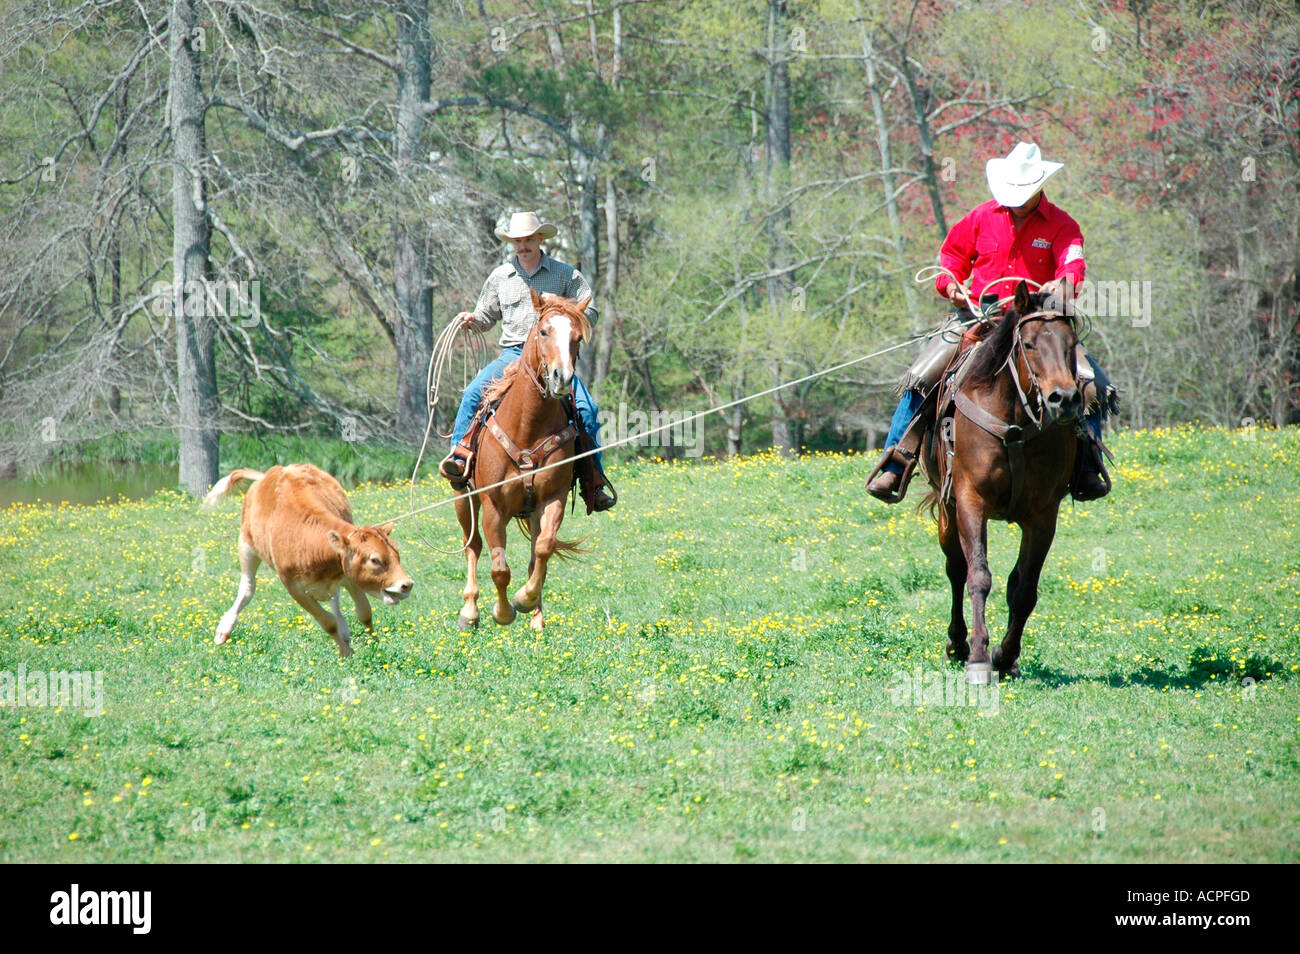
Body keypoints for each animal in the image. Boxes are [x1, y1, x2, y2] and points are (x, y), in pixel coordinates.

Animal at [453, 289, 590, 632]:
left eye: (578, 338)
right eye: (543, 331)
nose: (561, 378)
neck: (527, 426)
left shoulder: (552, 498)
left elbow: (543, 548)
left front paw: (525, 601)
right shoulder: (492, 506)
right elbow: (499, 568)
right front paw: (503, 612)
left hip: (530, 512)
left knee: (533, 553)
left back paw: (536, 618)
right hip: (464, 499)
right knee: (472, 546)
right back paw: (469, 611)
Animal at [921, 281, 1085, 683]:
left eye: (1072, 343)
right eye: (1028, 344)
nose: (1065, 399)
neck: (1013, 422)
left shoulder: (1043, 516)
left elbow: (1024, 589)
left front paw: (1005, 656)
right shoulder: (970, 501)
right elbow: (978, 575)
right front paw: (980, 657)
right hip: (947, 511)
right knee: (956, 569)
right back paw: (958, 644)